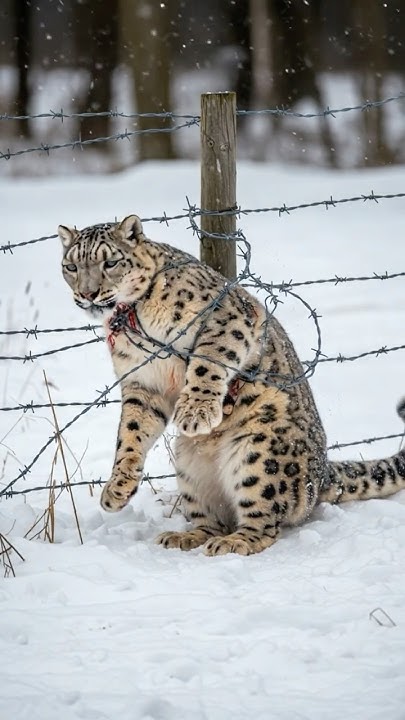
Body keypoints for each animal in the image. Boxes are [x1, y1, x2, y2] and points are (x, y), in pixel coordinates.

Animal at [59, 214, 405, 556]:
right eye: (71, 267)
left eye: (110, 262)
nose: (88, 294)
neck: (136, 317)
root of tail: (320, 475)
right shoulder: (142, 382)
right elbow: (131, 432)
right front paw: (117, 488)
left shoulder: (226, 321)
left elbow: (209, 361)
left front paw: (195, 413)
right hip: (189, 470)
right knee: (212, 518)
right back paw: (185, 536)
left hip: (260, 452)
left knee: (265, 520)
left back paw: (234, 542)